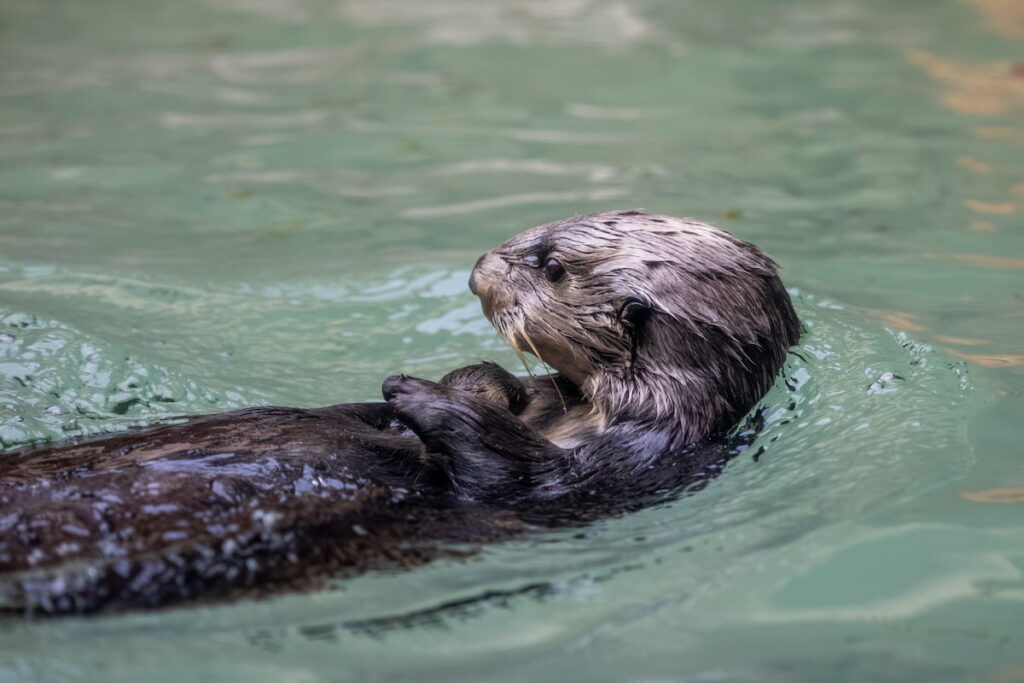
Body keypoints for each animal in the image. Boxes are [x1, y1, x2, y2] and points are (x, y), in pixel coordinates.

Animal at [0, 210, 800, 615]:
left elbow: (503, 473)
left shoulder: (620, 466)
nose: (478, 268)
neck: (576, 415)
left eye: (551, 266)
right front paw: (470, 380)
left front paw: (413, 392)